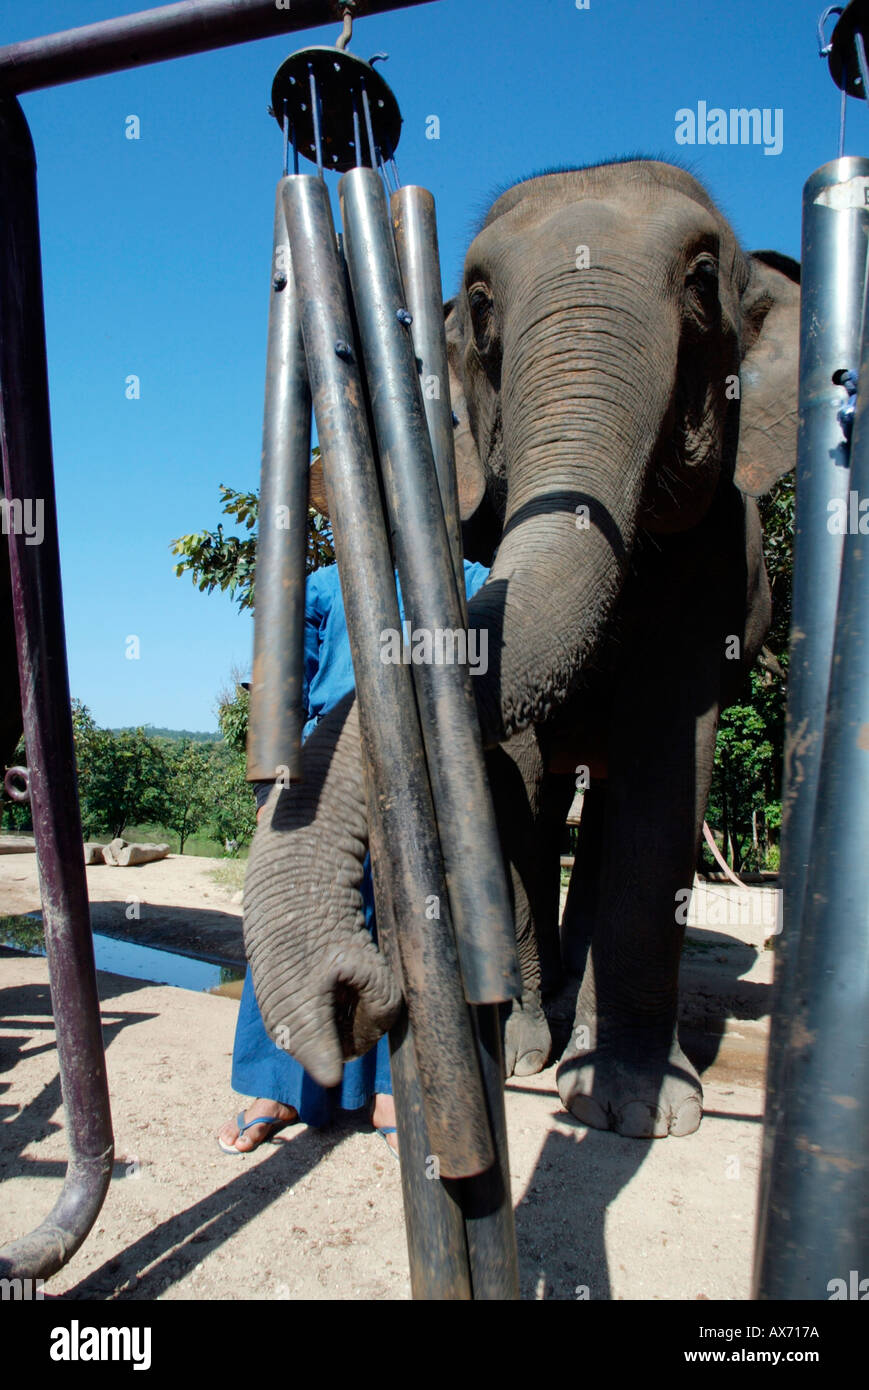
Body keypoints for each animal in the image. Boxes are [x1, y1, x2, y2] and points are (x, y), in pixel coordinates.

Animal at [238, 159, 803, 1137]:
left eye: (702, 281)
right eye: (477, 300)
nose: (355, 997)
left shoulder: (717, 567)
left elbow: (669, 765)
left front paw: (632, 1109)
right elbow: (522, 780)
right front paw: (515, 1059)